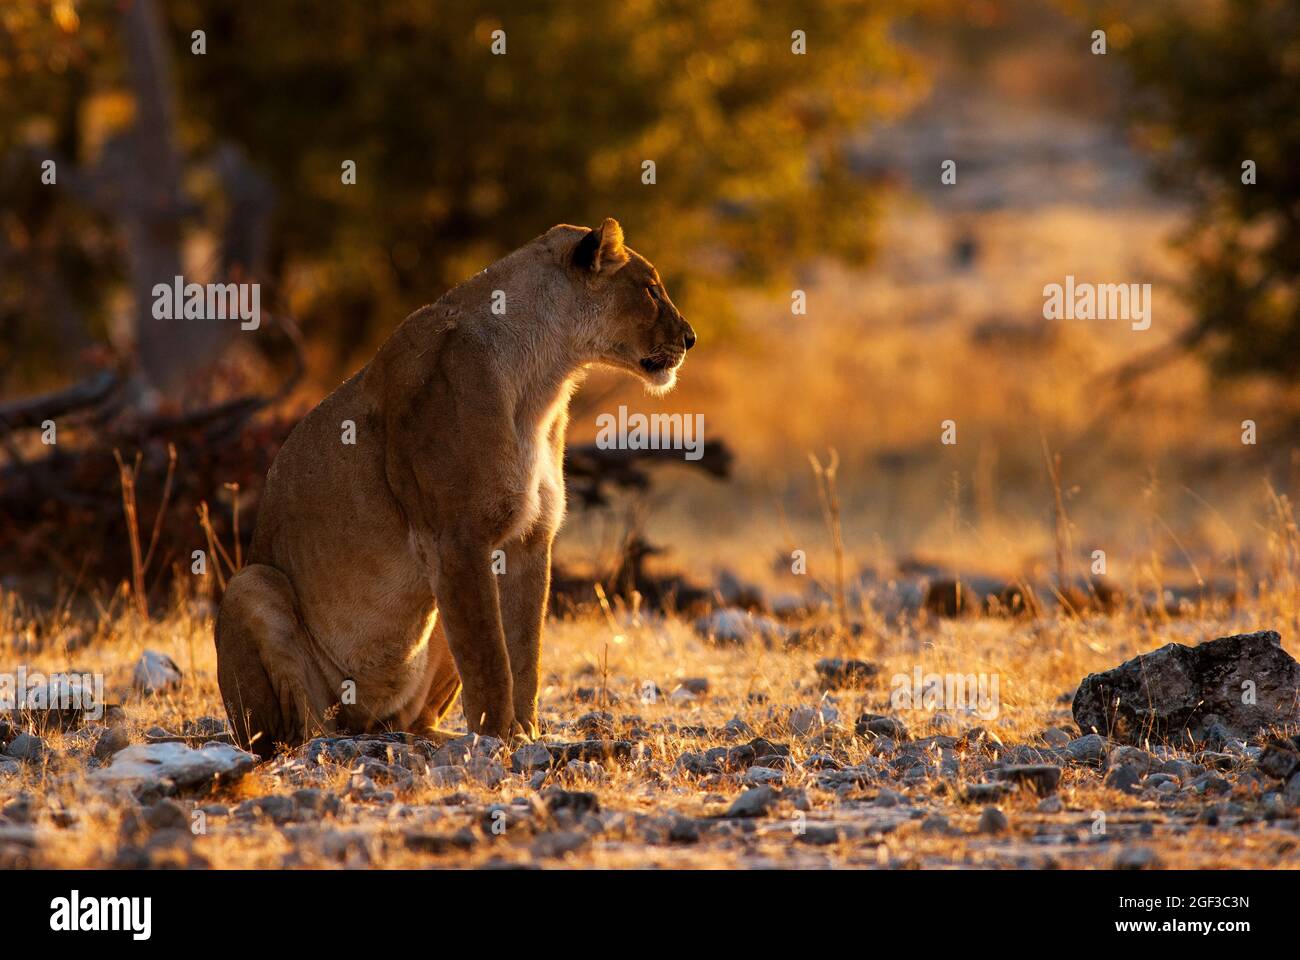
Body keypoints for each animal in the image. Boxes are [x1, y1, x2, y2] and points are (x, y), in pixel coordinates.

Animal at [215, 219, 695, 758]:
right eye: (650, 289)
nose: (691, 337)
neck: (542, 381)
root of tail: (368, 720)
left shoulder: (529, 541)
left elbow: (525, 653)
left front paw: (528, 735)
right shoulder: (456, 538)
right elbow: (490, 658)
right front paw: (499, 739)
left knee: (415, 719)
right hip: (251, 588)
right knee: (292, 731)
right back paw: (329, 744)